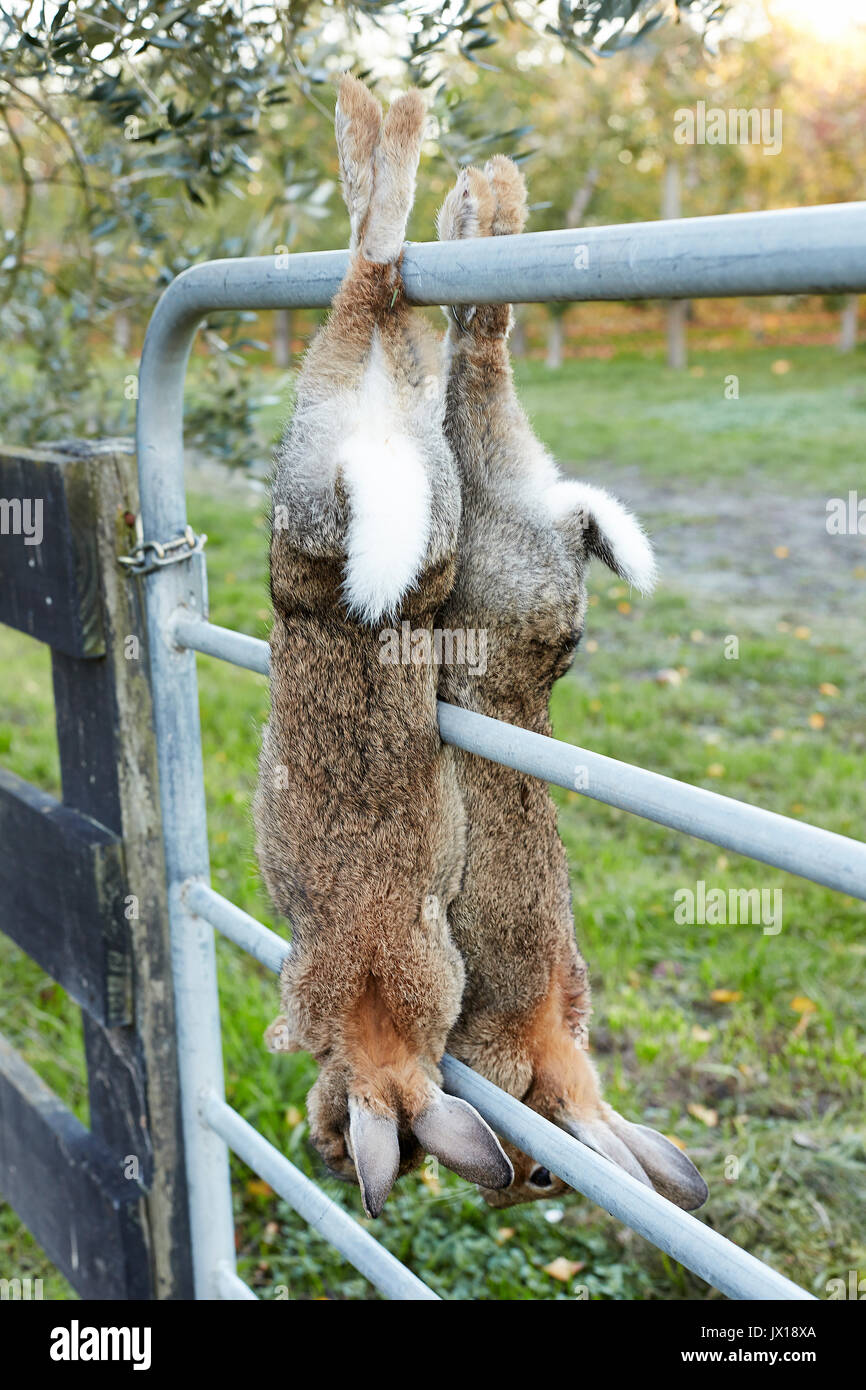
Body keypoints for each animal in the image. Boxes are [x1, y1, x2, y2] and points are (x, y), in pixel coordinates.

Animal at [434, 157, 708, 1212]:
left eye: (544, 1176)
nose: (516, 1180)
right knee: (480, 363)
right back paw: (485, 204)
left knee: (475, 361)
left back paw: (484, 203)